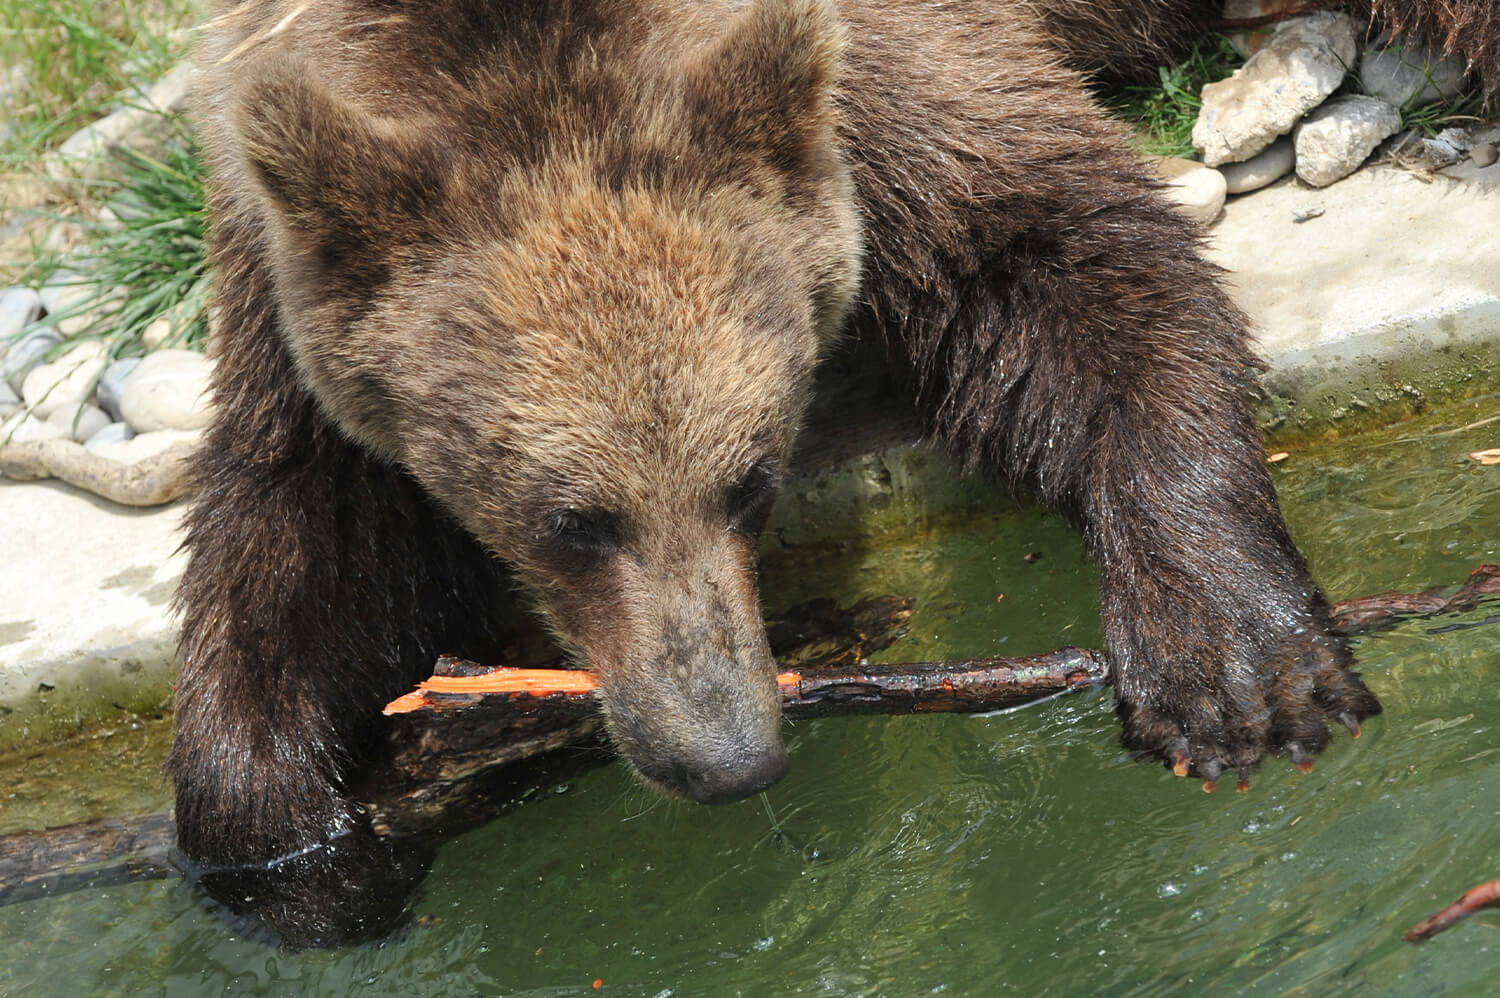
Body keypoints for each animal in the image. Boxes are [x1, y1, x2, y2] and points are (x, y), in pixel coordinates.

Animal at [171, 0, 1395, 946]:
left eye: (749, 480)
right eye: (575, 519)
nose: (728, 757)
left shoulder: (881, 98)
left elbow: (1057, 248)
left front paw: (1232, 663)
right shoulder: (279, 263)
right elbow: (304, 524)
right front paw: (289, 843)